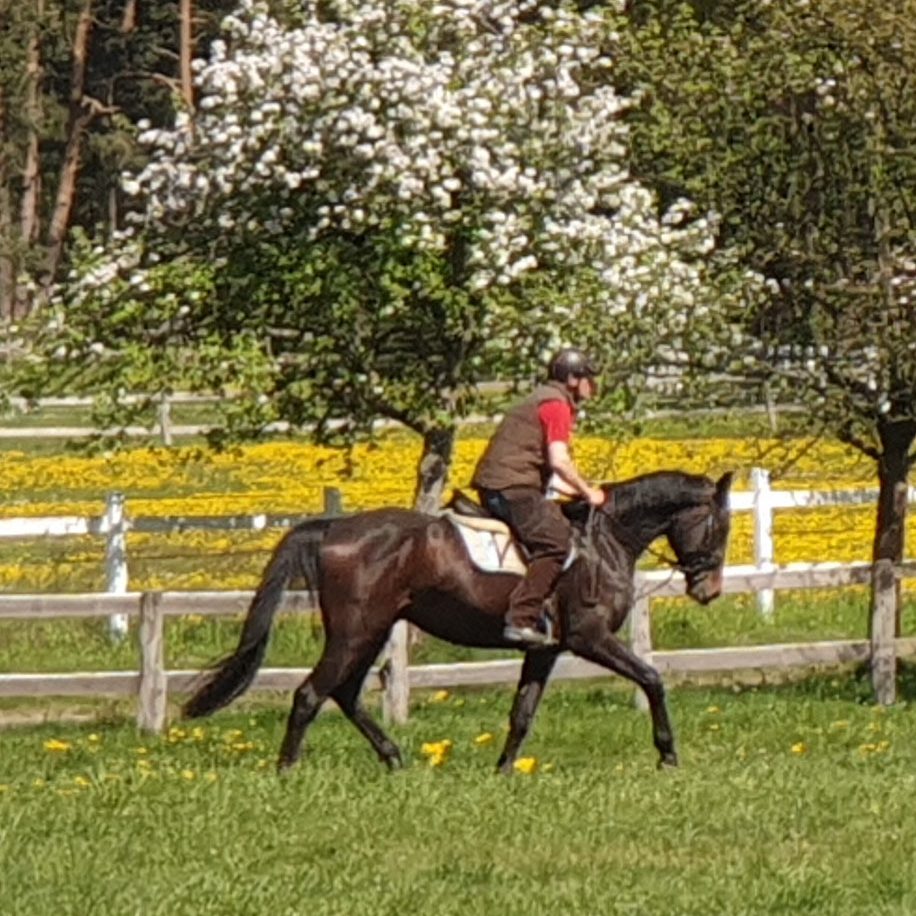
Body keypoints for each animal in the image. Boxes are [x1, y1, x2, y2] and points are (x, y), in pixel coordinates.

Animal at [183, 469, 733, 772]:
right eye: (720, 525)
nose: (709, 591)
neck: (605, 540)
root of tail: (336, 527)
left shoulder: (545, 648)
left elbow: (522, 712)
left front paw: (504, 769)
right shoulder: (589, 637)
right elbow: (652, 678)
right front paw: (667, 755)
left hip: (370, 631)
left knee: (344, 693)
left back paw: (394, 758)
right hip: (357, 631)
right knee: (310, 694)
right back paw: (287, 770)